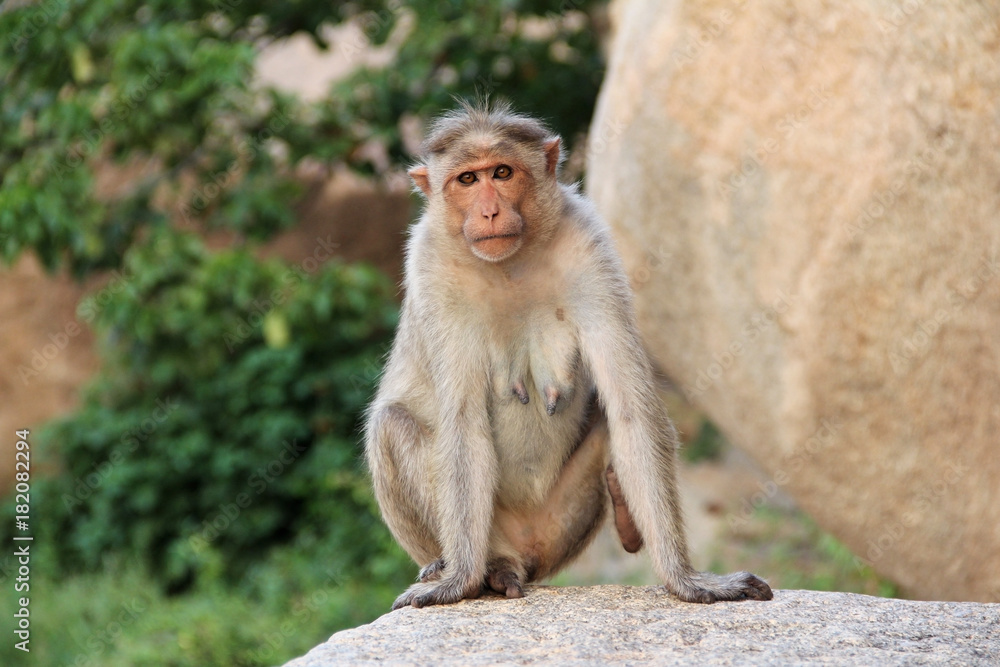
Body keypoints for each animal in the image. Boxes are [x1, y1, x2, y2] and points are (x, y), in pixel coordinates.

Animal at [364, 101, 773, 610]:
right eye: (467, 179)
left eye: (502, 172)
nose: (489, 210)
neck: (509, 266)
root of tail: (528, 553)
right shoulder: (430, 267)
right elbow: (461, 422)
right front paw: (458, 580)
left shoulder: (590, 248)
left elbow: (631, 408)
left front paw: (688, 580)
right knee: (392, 424)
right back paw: (487, 570)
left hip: (560, 526)